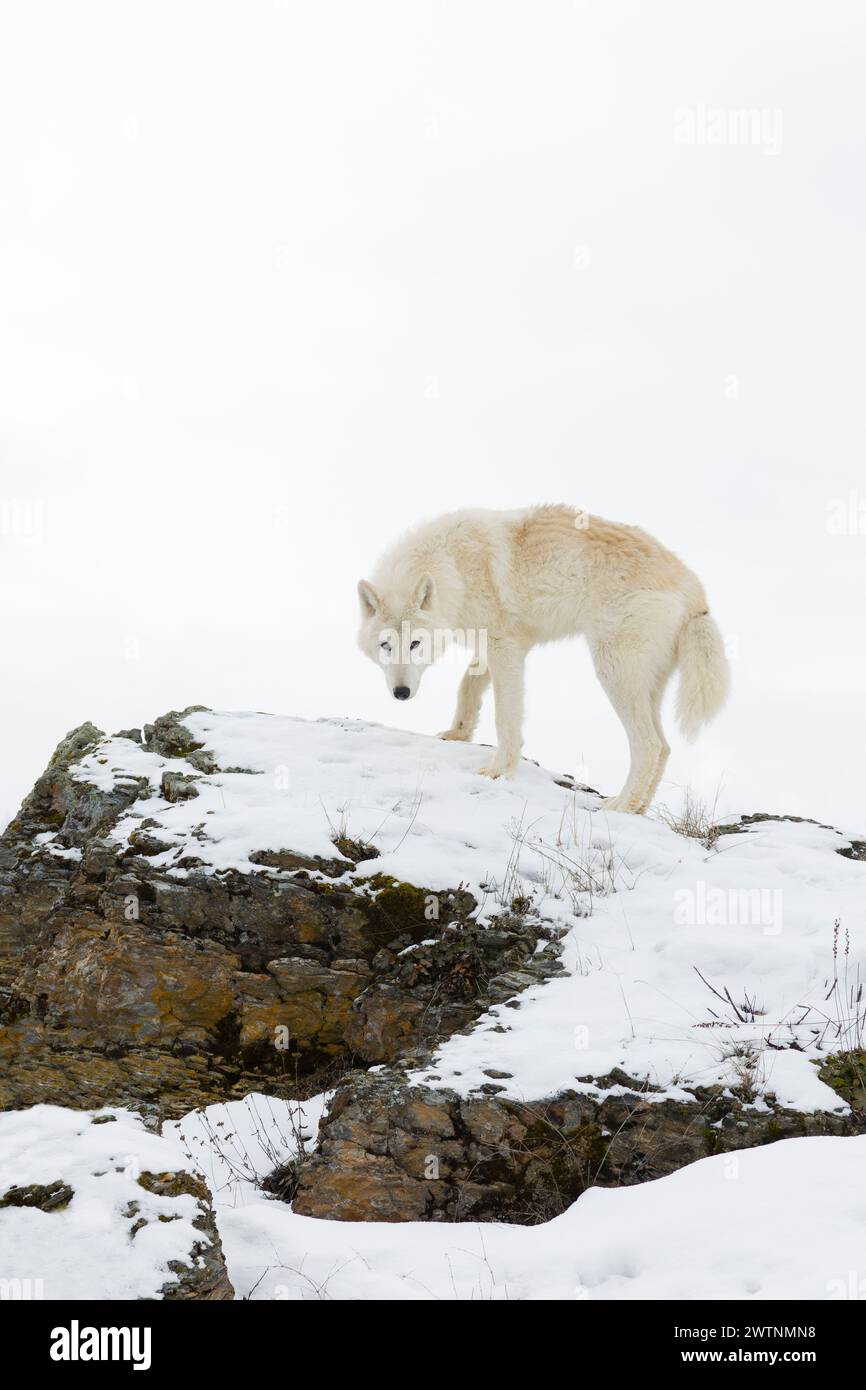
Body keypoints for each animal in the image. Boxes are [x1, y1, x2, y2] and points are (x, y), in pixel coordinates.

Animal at [357, 506, 730, 813]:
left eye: (415, 644)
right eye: (385, 646)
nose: (401, 693)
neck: (454, 566)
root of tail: (696, 592)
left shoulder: (505, 647)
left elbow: (506, 719)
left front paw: (499, 771)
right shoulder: (495, 645)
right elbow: (468, 687)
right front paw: (457, 732)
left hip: (613, 673)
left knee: (649, 745)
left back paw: (622, 806)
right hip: (644, 685)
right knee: (664, 748)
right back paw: (637, 809)